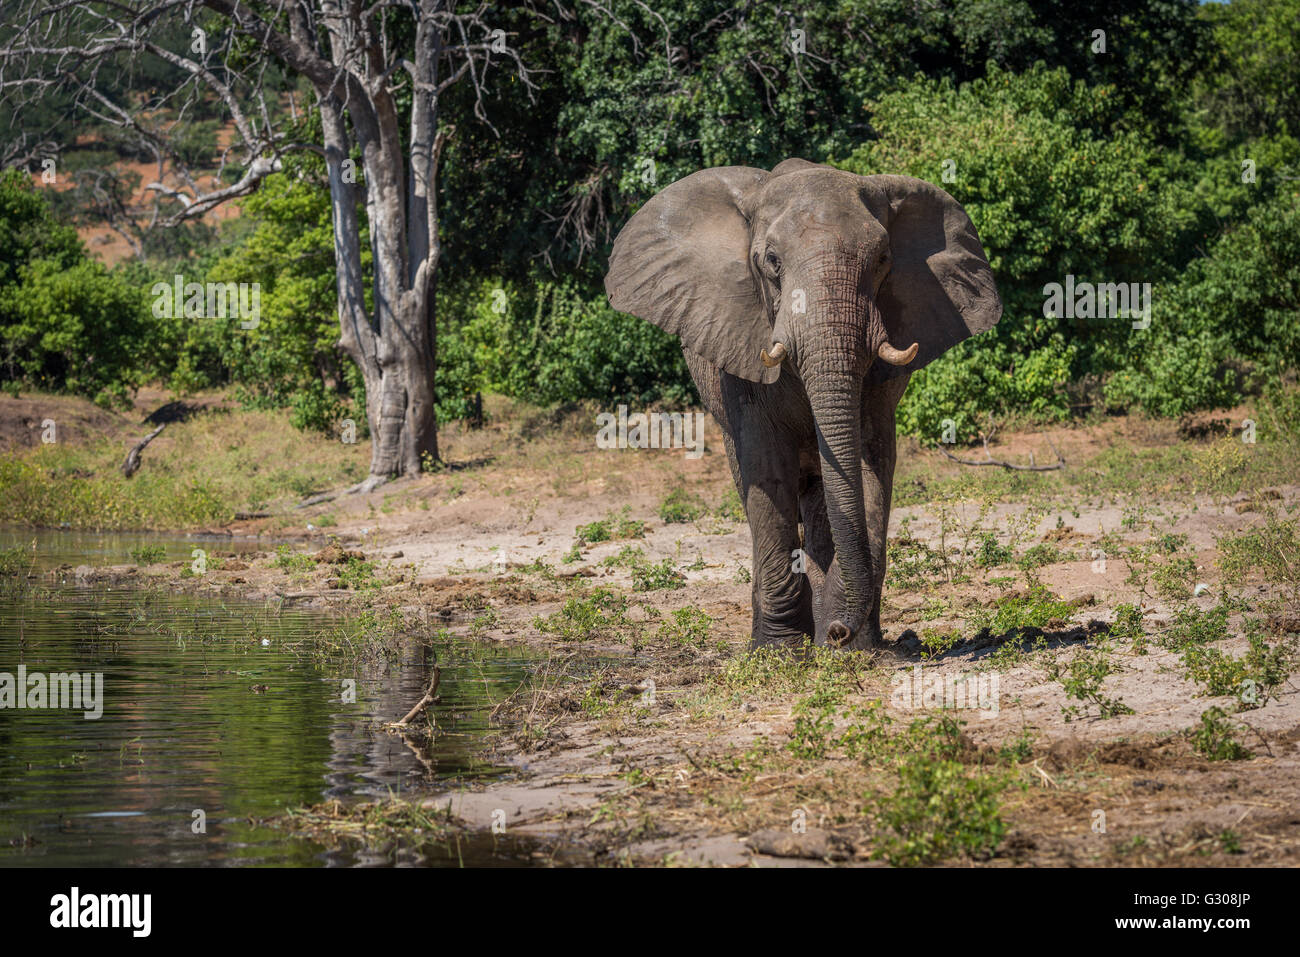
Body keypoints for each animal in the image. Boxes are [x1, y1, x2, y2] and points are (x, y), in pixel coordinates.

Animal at [603, 158, 1002, 651]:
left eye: (882, 260)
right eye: (772, 262)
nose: (838, 632)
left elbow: (871, 461)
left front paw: (853, 647)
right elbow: (766, 466)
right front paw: (779, 652)